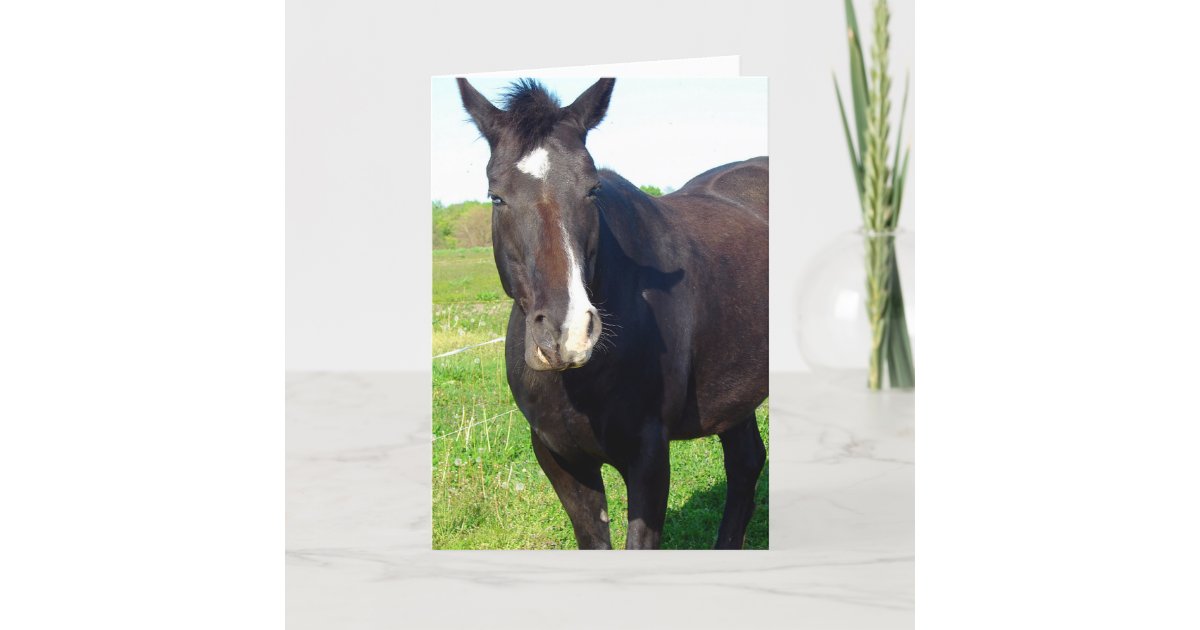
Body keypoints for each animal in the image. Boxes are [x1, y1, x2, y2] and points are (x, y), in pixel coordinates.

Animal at [456, 77, 768, 549]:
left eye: (592, 189)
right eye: (496, 196)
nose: (567, 334)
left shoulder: (648, 459)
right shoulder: (560, 457)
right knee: (746, 462)